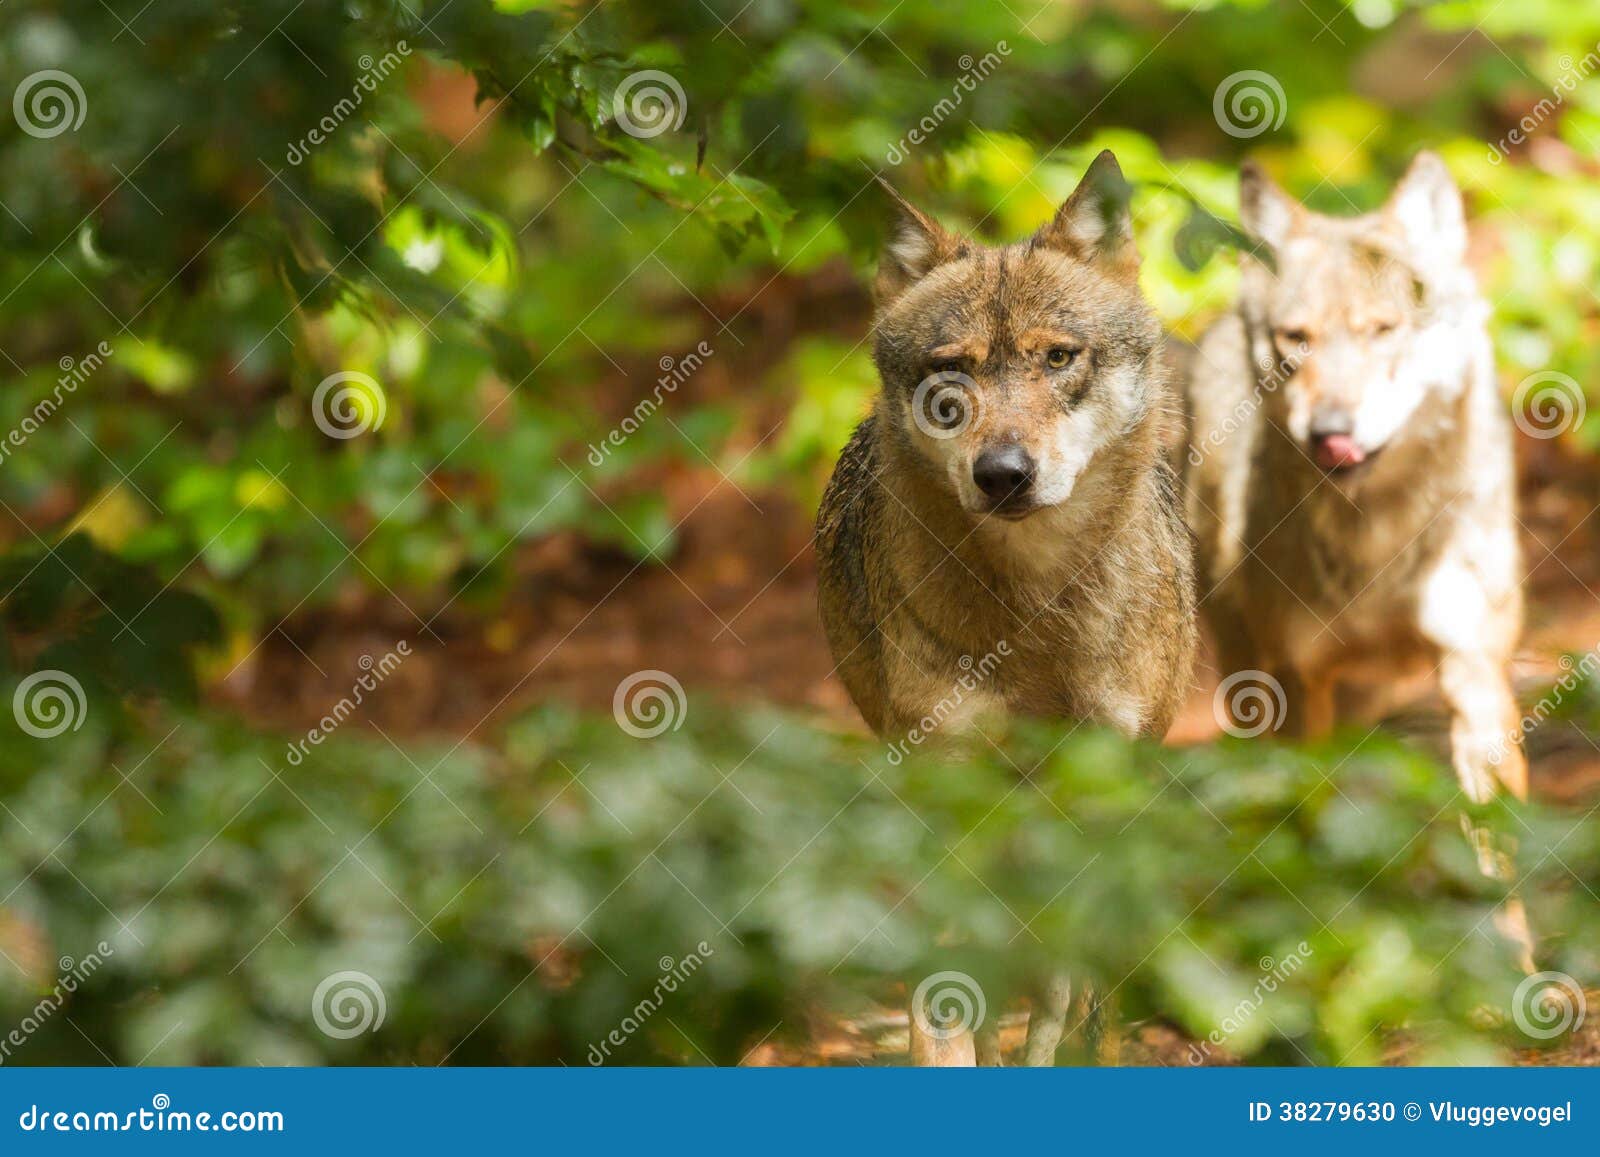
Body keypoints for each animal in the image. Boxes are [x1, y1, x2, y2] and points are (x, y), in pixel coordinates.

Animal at [1185, 152, 1526, 805]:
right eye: (1296, 338)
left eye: (1383, 330)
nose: (1329, 431)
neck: (1376, 537)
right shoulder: (1296, 683)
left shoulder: (1474, 666)